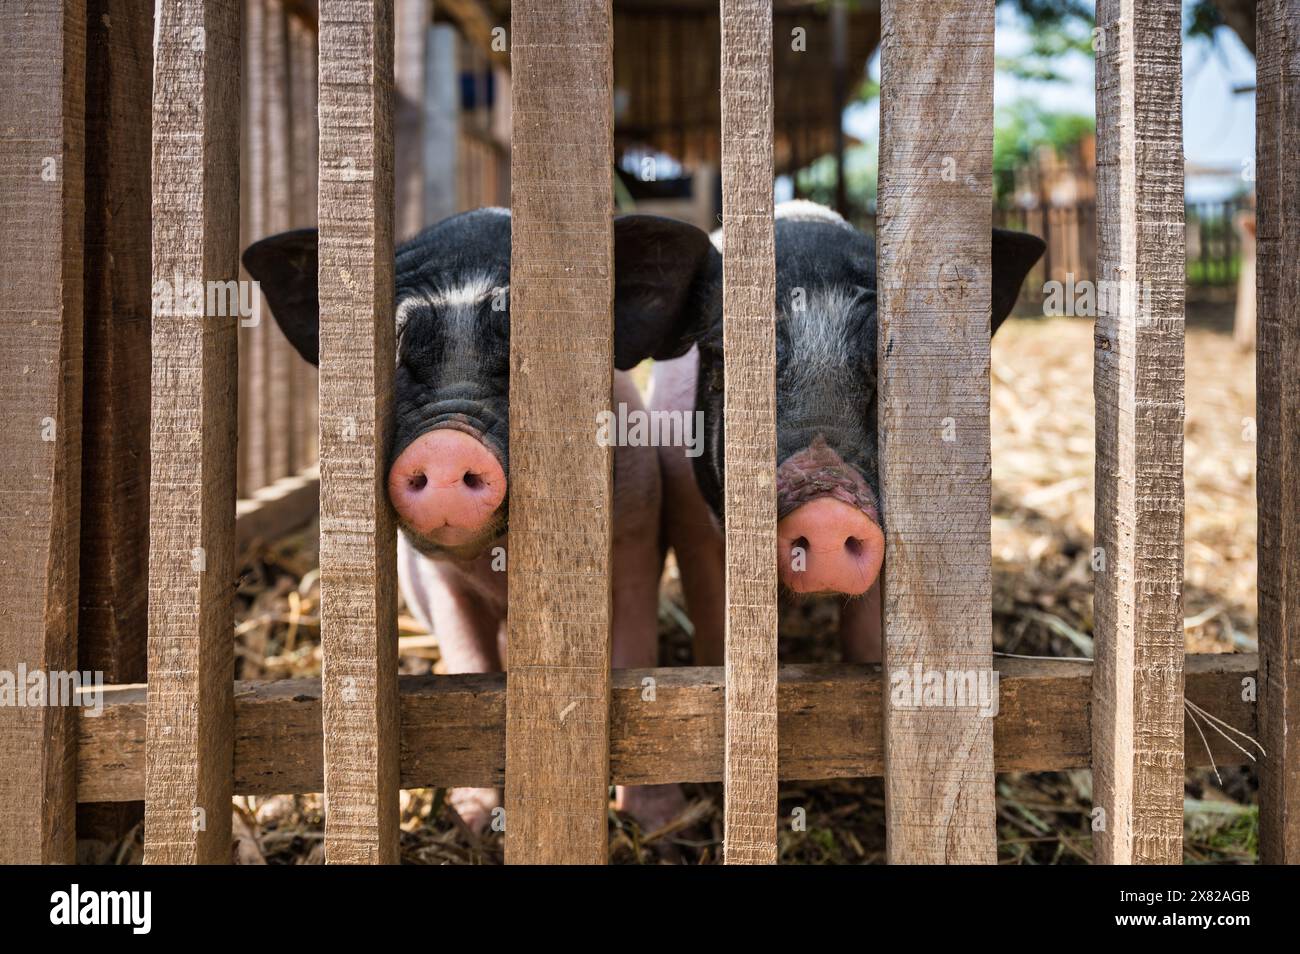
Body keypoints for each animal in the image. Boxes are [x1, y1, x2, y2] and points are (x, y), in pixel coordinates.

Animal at [242, 208, 719, 836]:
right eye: (397, 354)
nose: (447, 446)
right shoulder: (435, 583)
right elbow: (468, 664)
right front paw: (471, 819)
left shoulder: (638, 539)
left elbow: (637, 659)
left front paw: (659, 824)